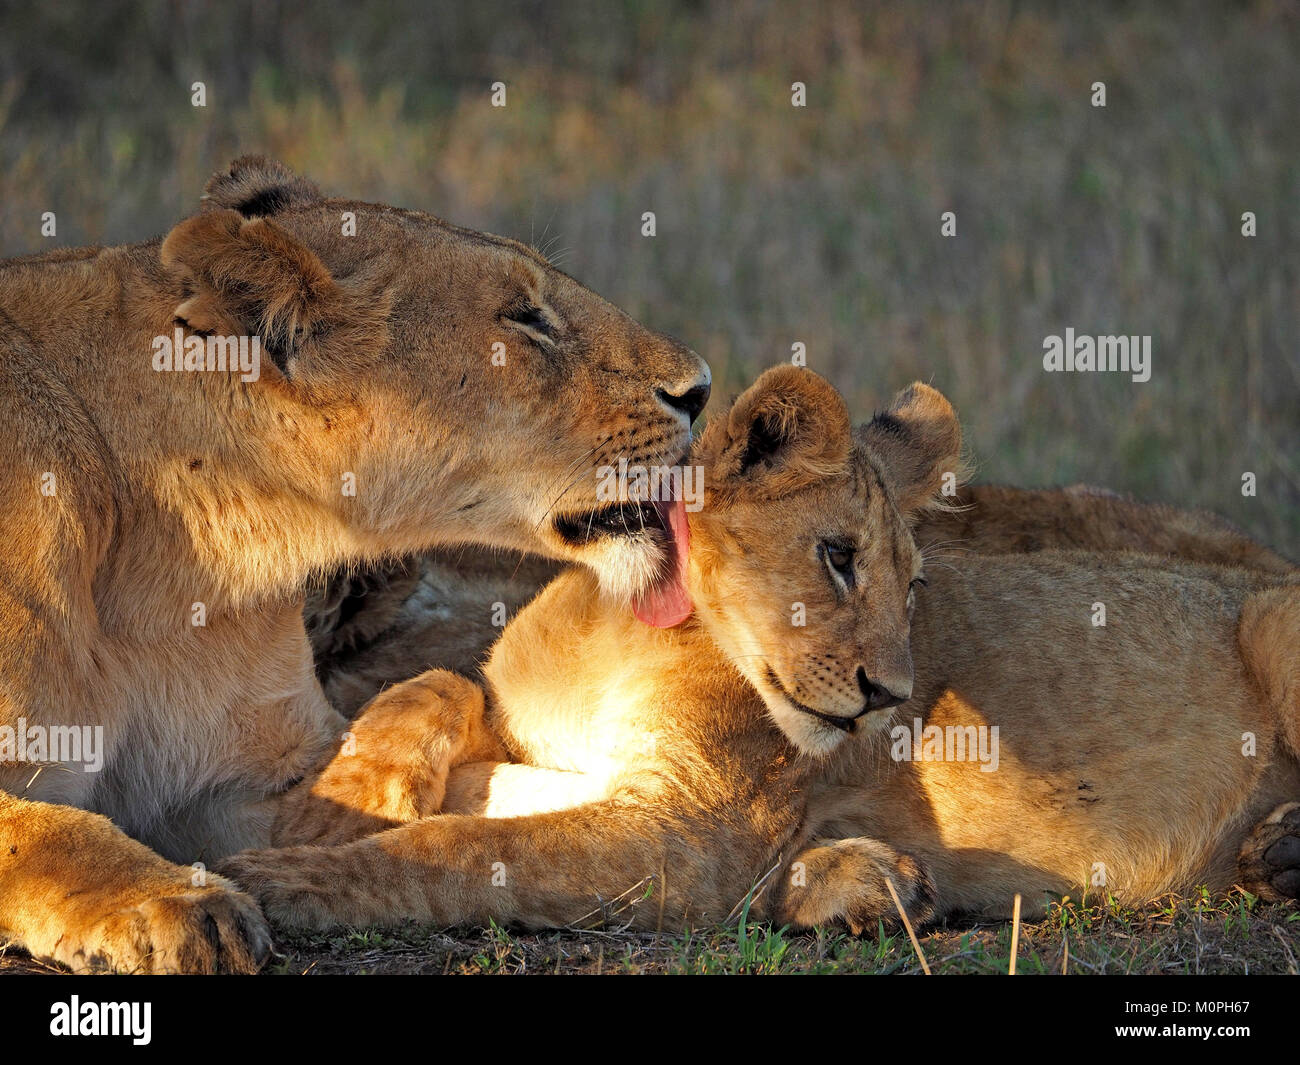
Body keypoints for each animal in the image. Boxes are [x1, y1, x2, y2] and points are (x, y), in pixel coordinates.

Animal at [0, 156, 710, 973]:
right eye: (524, 317)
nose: (702, 388)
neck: (184, 568)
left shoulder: (240, 780)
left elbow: (446, 706)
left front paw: (378, 792)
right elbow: (44, 826)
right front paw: (177, 905)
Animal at [219, 366, 1300, 934]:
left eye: (914, 584)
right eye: (836, 556)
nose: (892, 694)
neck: (616, 632)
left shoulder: (682, 835)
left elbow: (463, 847)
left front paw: (280, 882)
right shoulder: (539, 736)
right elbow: (438, 682)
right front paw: (357, 793)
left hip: (1270, 620)